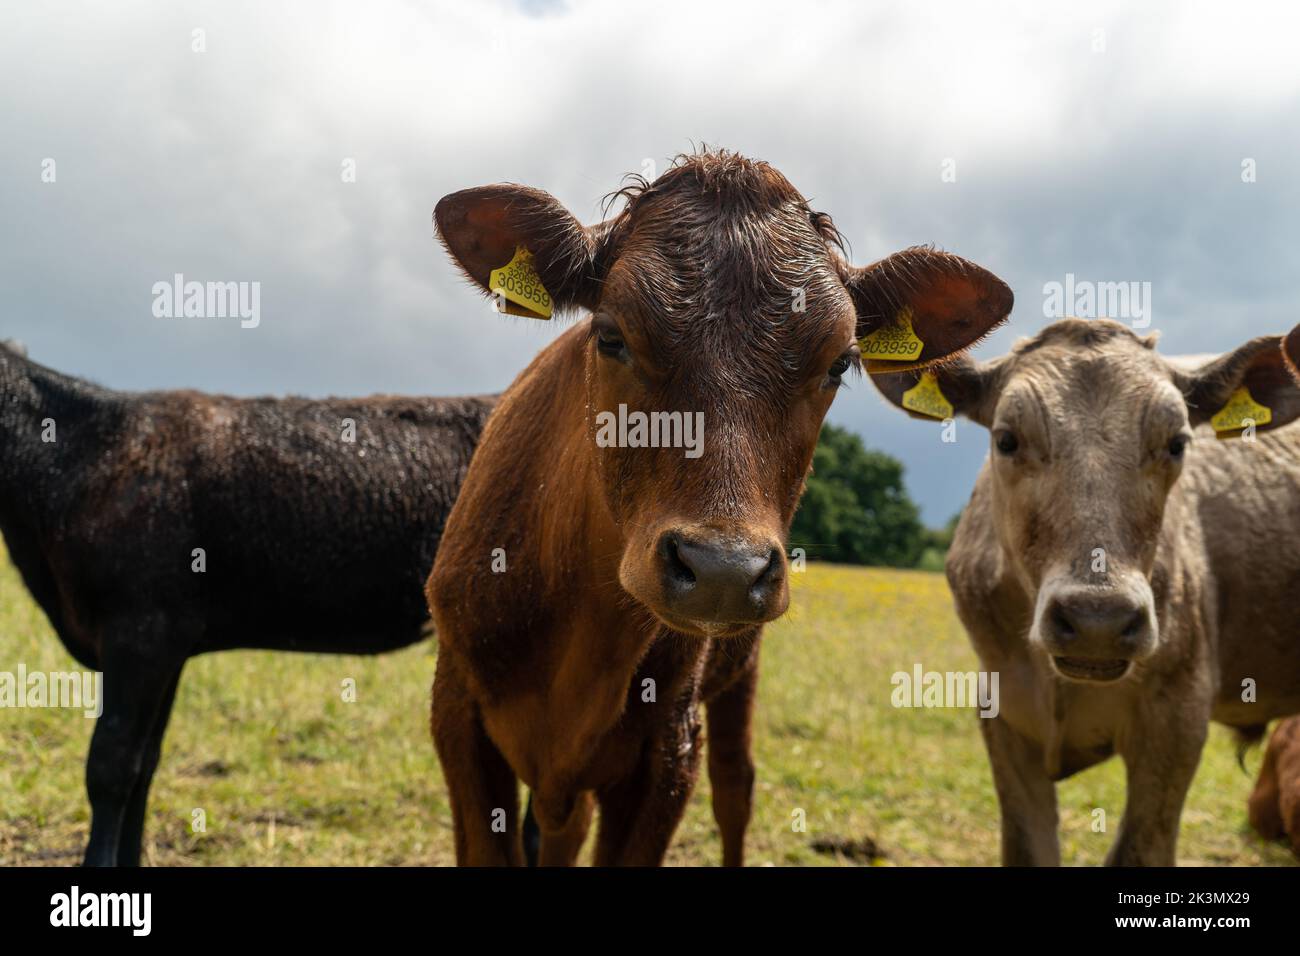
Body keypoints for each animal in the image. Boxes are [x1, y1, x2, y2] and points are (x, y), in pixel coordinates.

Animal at [425, 149, 1013, 866]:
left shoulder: (670, 746)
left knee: (735, 789)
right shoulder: (456, 711)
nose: (723, 570)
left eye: (839, 363)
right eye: (610, 334)